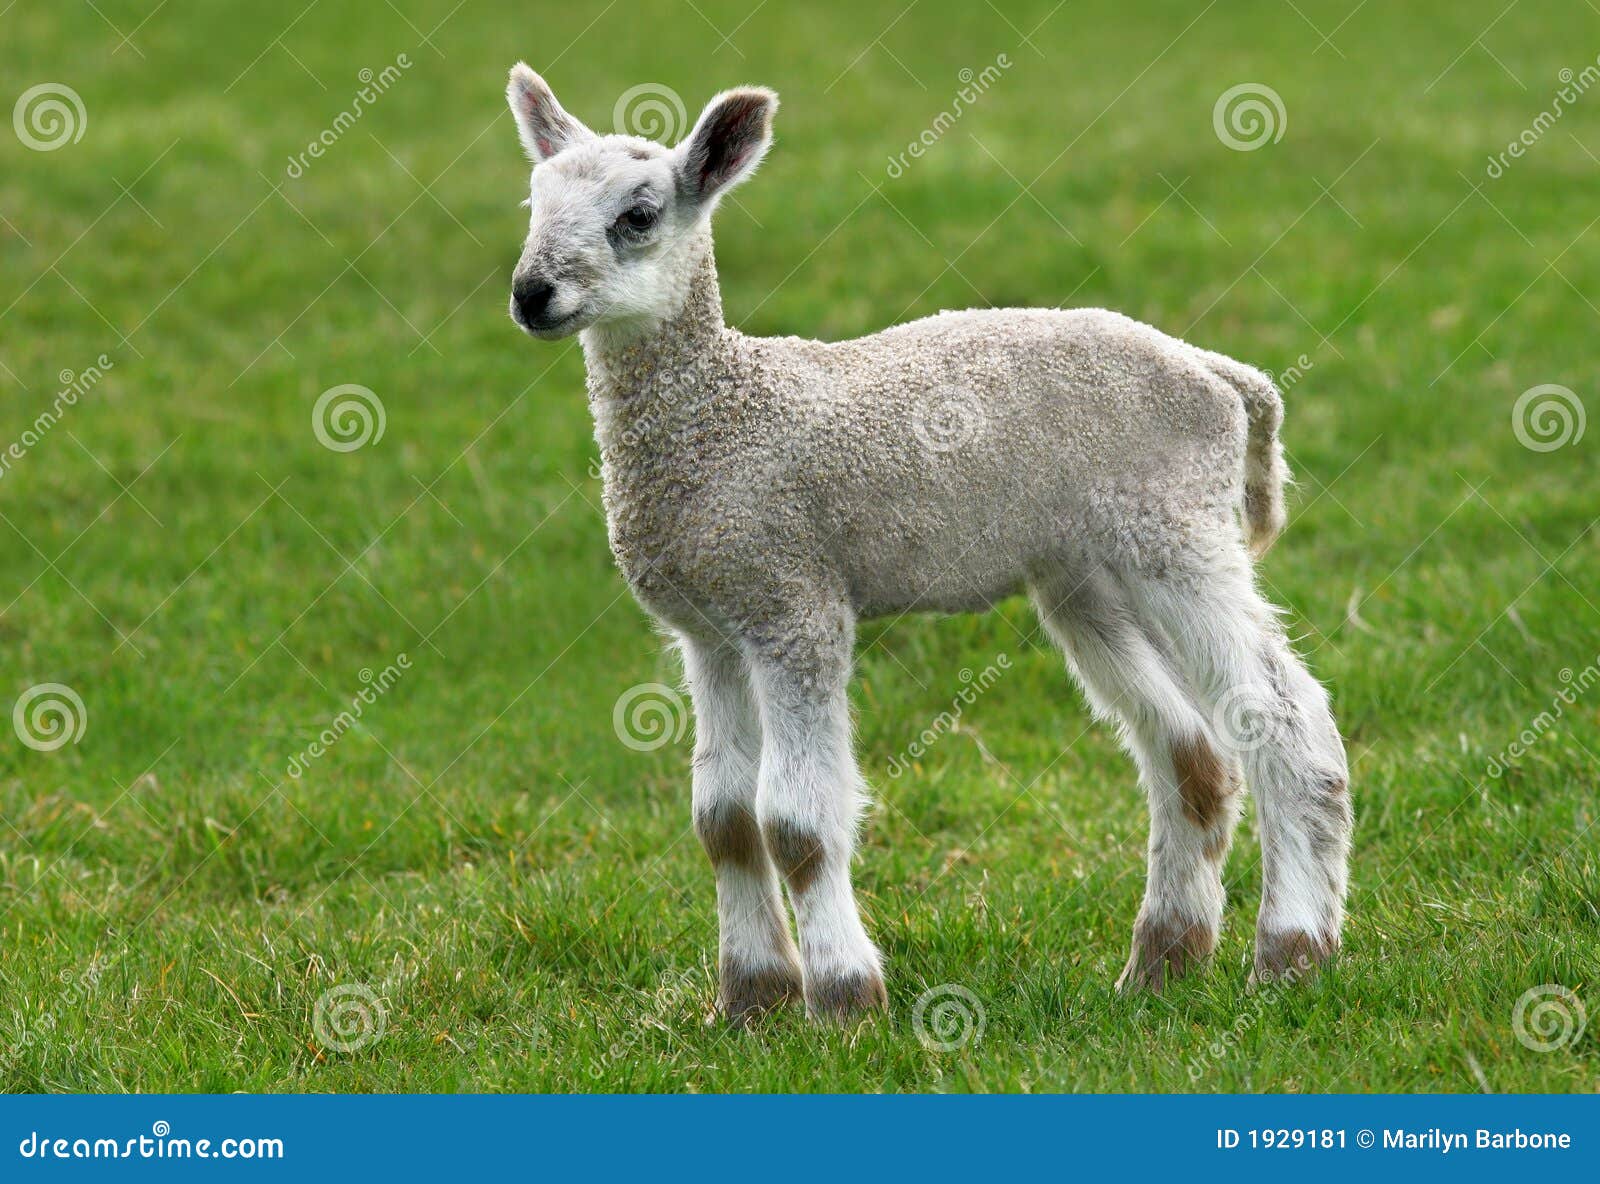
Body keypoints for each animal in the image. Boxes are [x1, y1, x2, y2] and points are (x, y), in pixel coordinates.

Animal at [503, 66, 1352, 1023]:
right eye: (534, 202)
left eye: (639, 216)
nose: (532, 293)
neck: (725, 413)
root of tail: (1221, 374)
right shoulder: (711, 627)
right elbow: (722, 820)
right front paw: (752, 1003)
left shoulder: (792, 601)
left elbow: (794, 823)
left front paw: (844, 1001)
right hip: (1089, 568)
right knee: (1191, 750)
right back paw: (1162, 964)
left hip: (1174, 528)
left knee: (1285, 718)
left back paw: (1290, 955)